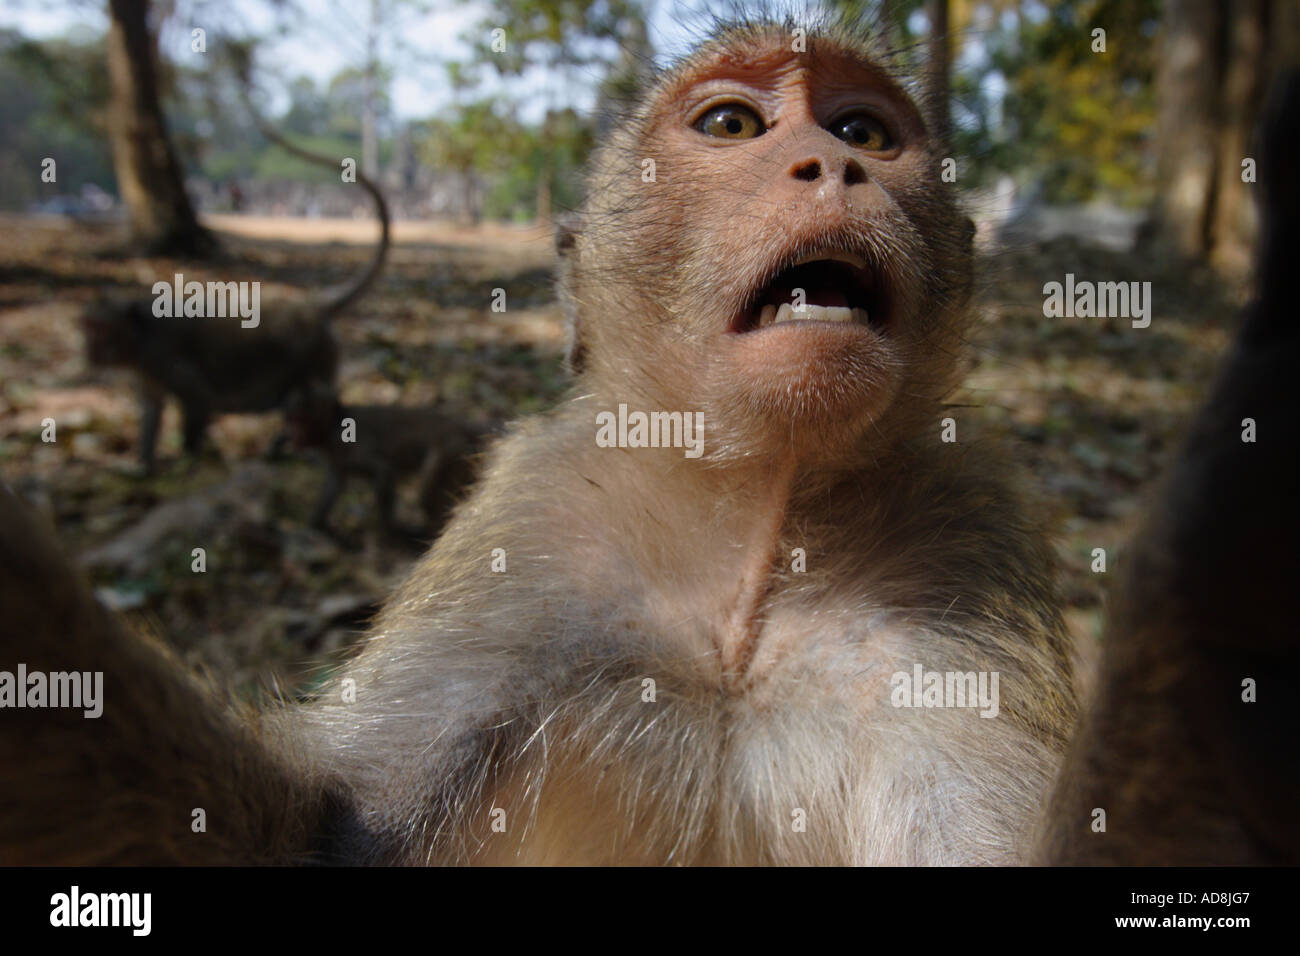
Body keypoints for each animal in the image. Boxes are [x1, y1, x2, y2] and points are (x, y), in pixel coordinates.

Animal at [81, 69, 391, 475]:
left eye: (100, 330)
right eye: (87, 328)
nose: (88, 351)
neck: (137, 340)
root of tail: (313, 307)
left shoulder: (167, 361)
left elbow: (196, 404)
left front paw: (189, 460)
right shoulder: (146, 373)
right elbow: (152, 411)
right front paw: (142, 466)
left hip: (316, 358)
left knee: (306, 396)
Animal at [281, 384, 492, 541]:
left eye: (298, 421)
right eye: (290, 420)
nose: (290, 435)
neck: (332, 425)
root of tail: (458, 424)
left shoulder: (349, 443)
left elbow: (384, 471)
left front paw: (389, 532)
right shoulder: (336, 457)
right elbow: (336, 482)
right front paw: (318, 525)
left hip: (449, 449)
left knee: (425, 491)